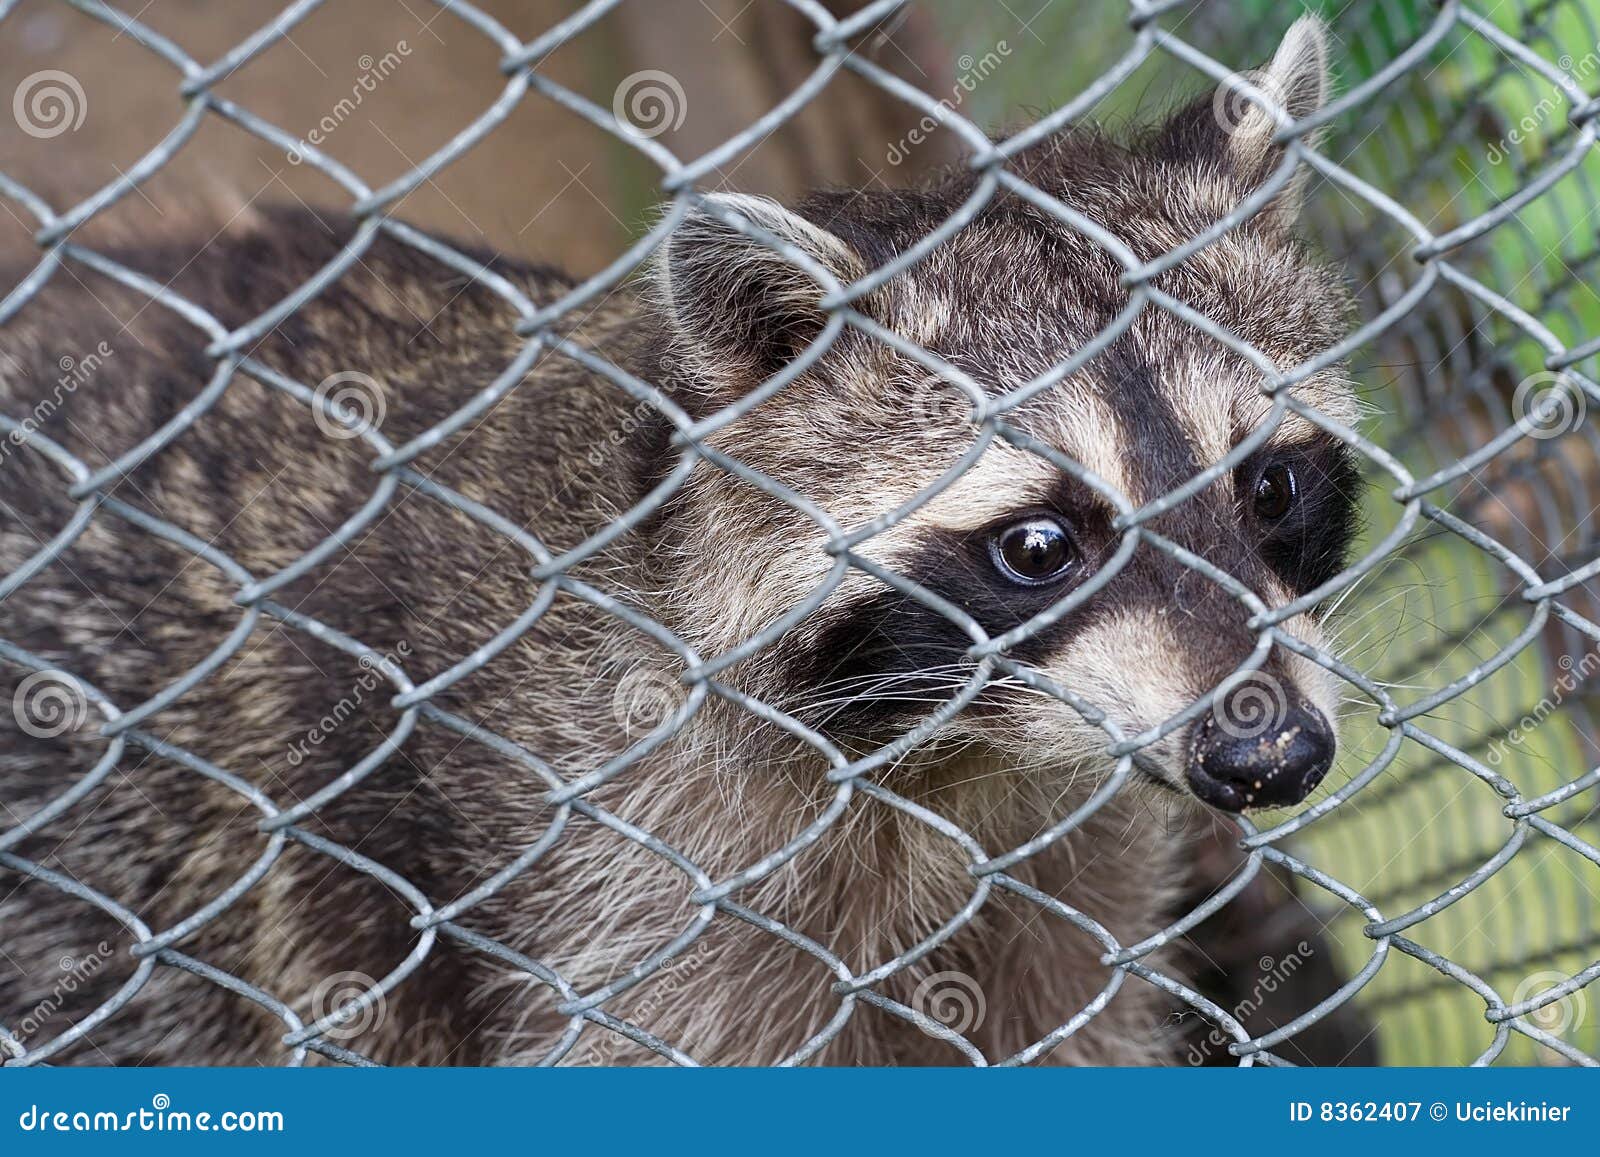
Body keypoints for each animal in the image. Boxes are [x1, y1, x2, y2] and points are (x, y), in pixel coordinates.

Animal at [0, 17, 1362, 1066]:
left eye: (1270, 484)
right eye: (1036, 545)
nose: (1271, 751)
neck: (961, 753)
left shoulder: (1062, 869)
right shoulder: (574, 894)